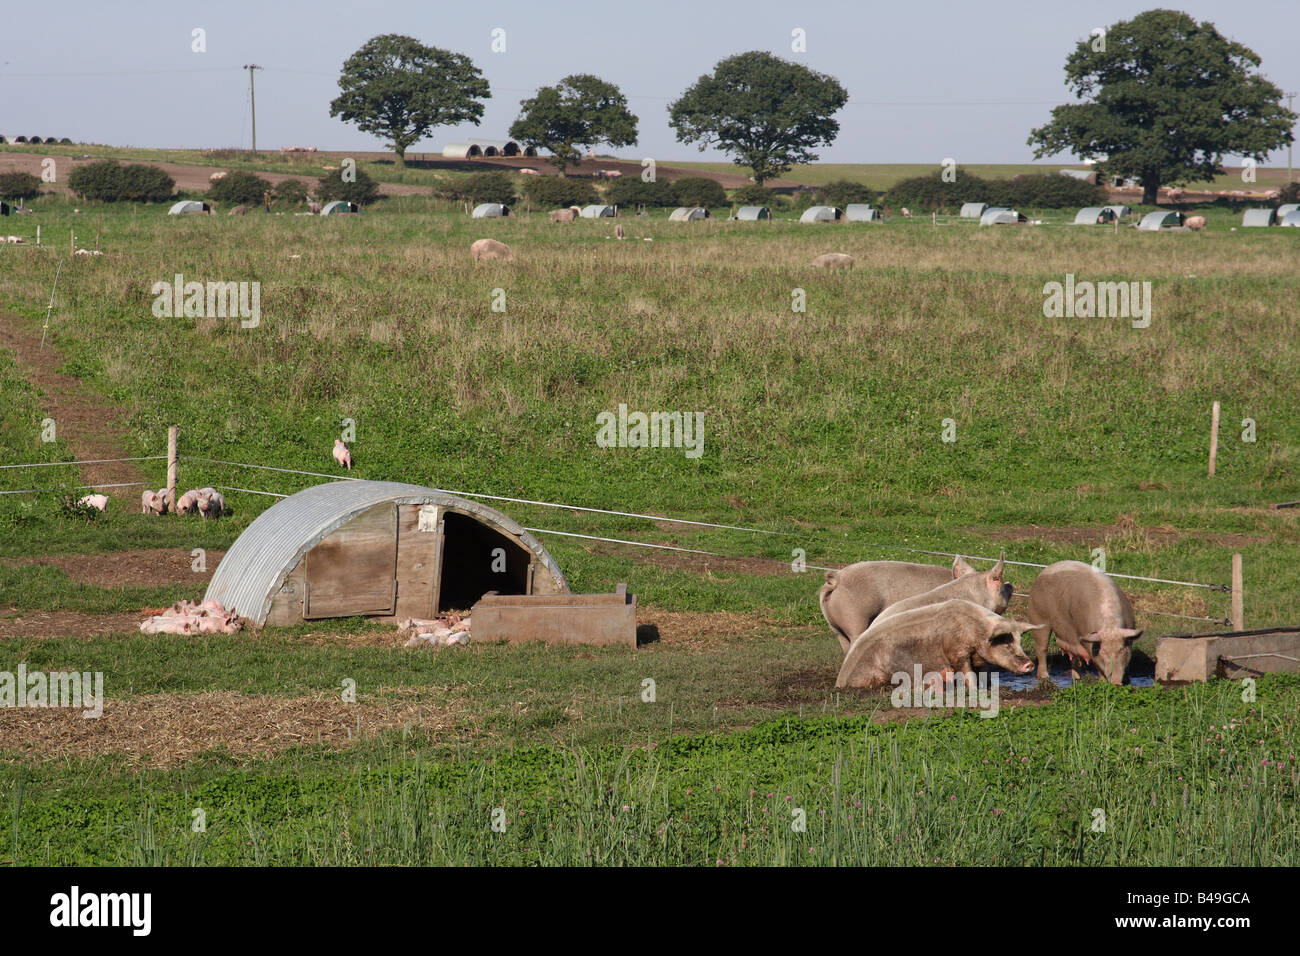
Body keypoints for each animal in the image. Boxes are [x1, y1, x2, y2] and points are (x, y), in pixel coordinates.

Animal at [836, 599, 1037, 689]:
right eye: (1006, 644)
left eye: (1019, 642)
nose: (1030, 664)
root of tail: (840, 680)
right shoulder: (956, 650)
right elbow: (966, 670)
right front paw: (974, 688)